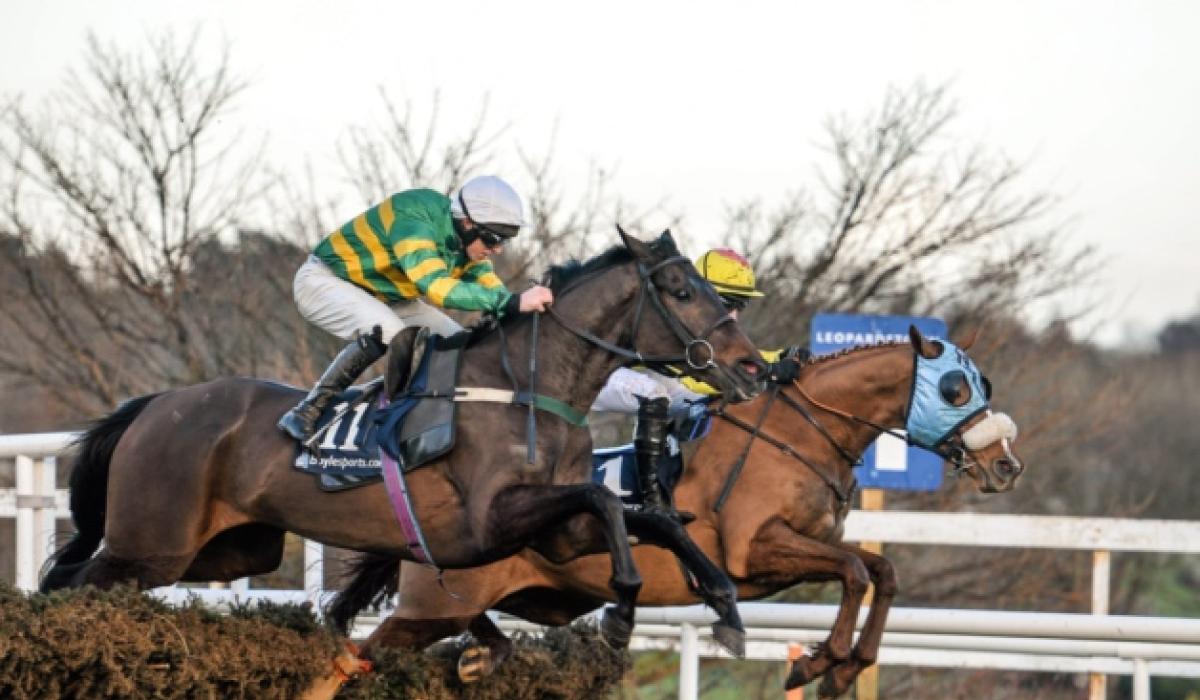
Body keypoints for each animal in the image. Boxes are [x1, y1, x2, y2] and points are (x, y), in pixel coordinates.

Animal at [39, 229, 767, 655]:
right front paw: (621, 611)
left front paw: (724, 606)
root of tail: (154, 405)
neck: (527, 390)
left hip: (218, 549)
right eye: (682, 289)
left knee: (68, 581)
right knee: (68, 584)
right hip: (149, 544)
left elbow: (646, 517)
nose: (753, 366)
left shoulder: (554, 531)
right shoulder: (486, 523)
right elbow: (609, 500)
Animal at [329, 326, 1023, 698]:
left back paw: (480, 657)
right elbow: (855, 572)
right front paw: (822, 661)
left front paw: (846, 664)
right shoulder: (756, 552)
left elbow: (882, 572)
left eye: (982, 384)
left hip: (488, 603)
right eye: (955, 388)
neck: (798, 434)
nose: (1006, 465)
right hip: (430, 610)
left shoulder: (801, 551)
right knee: (358, 660)